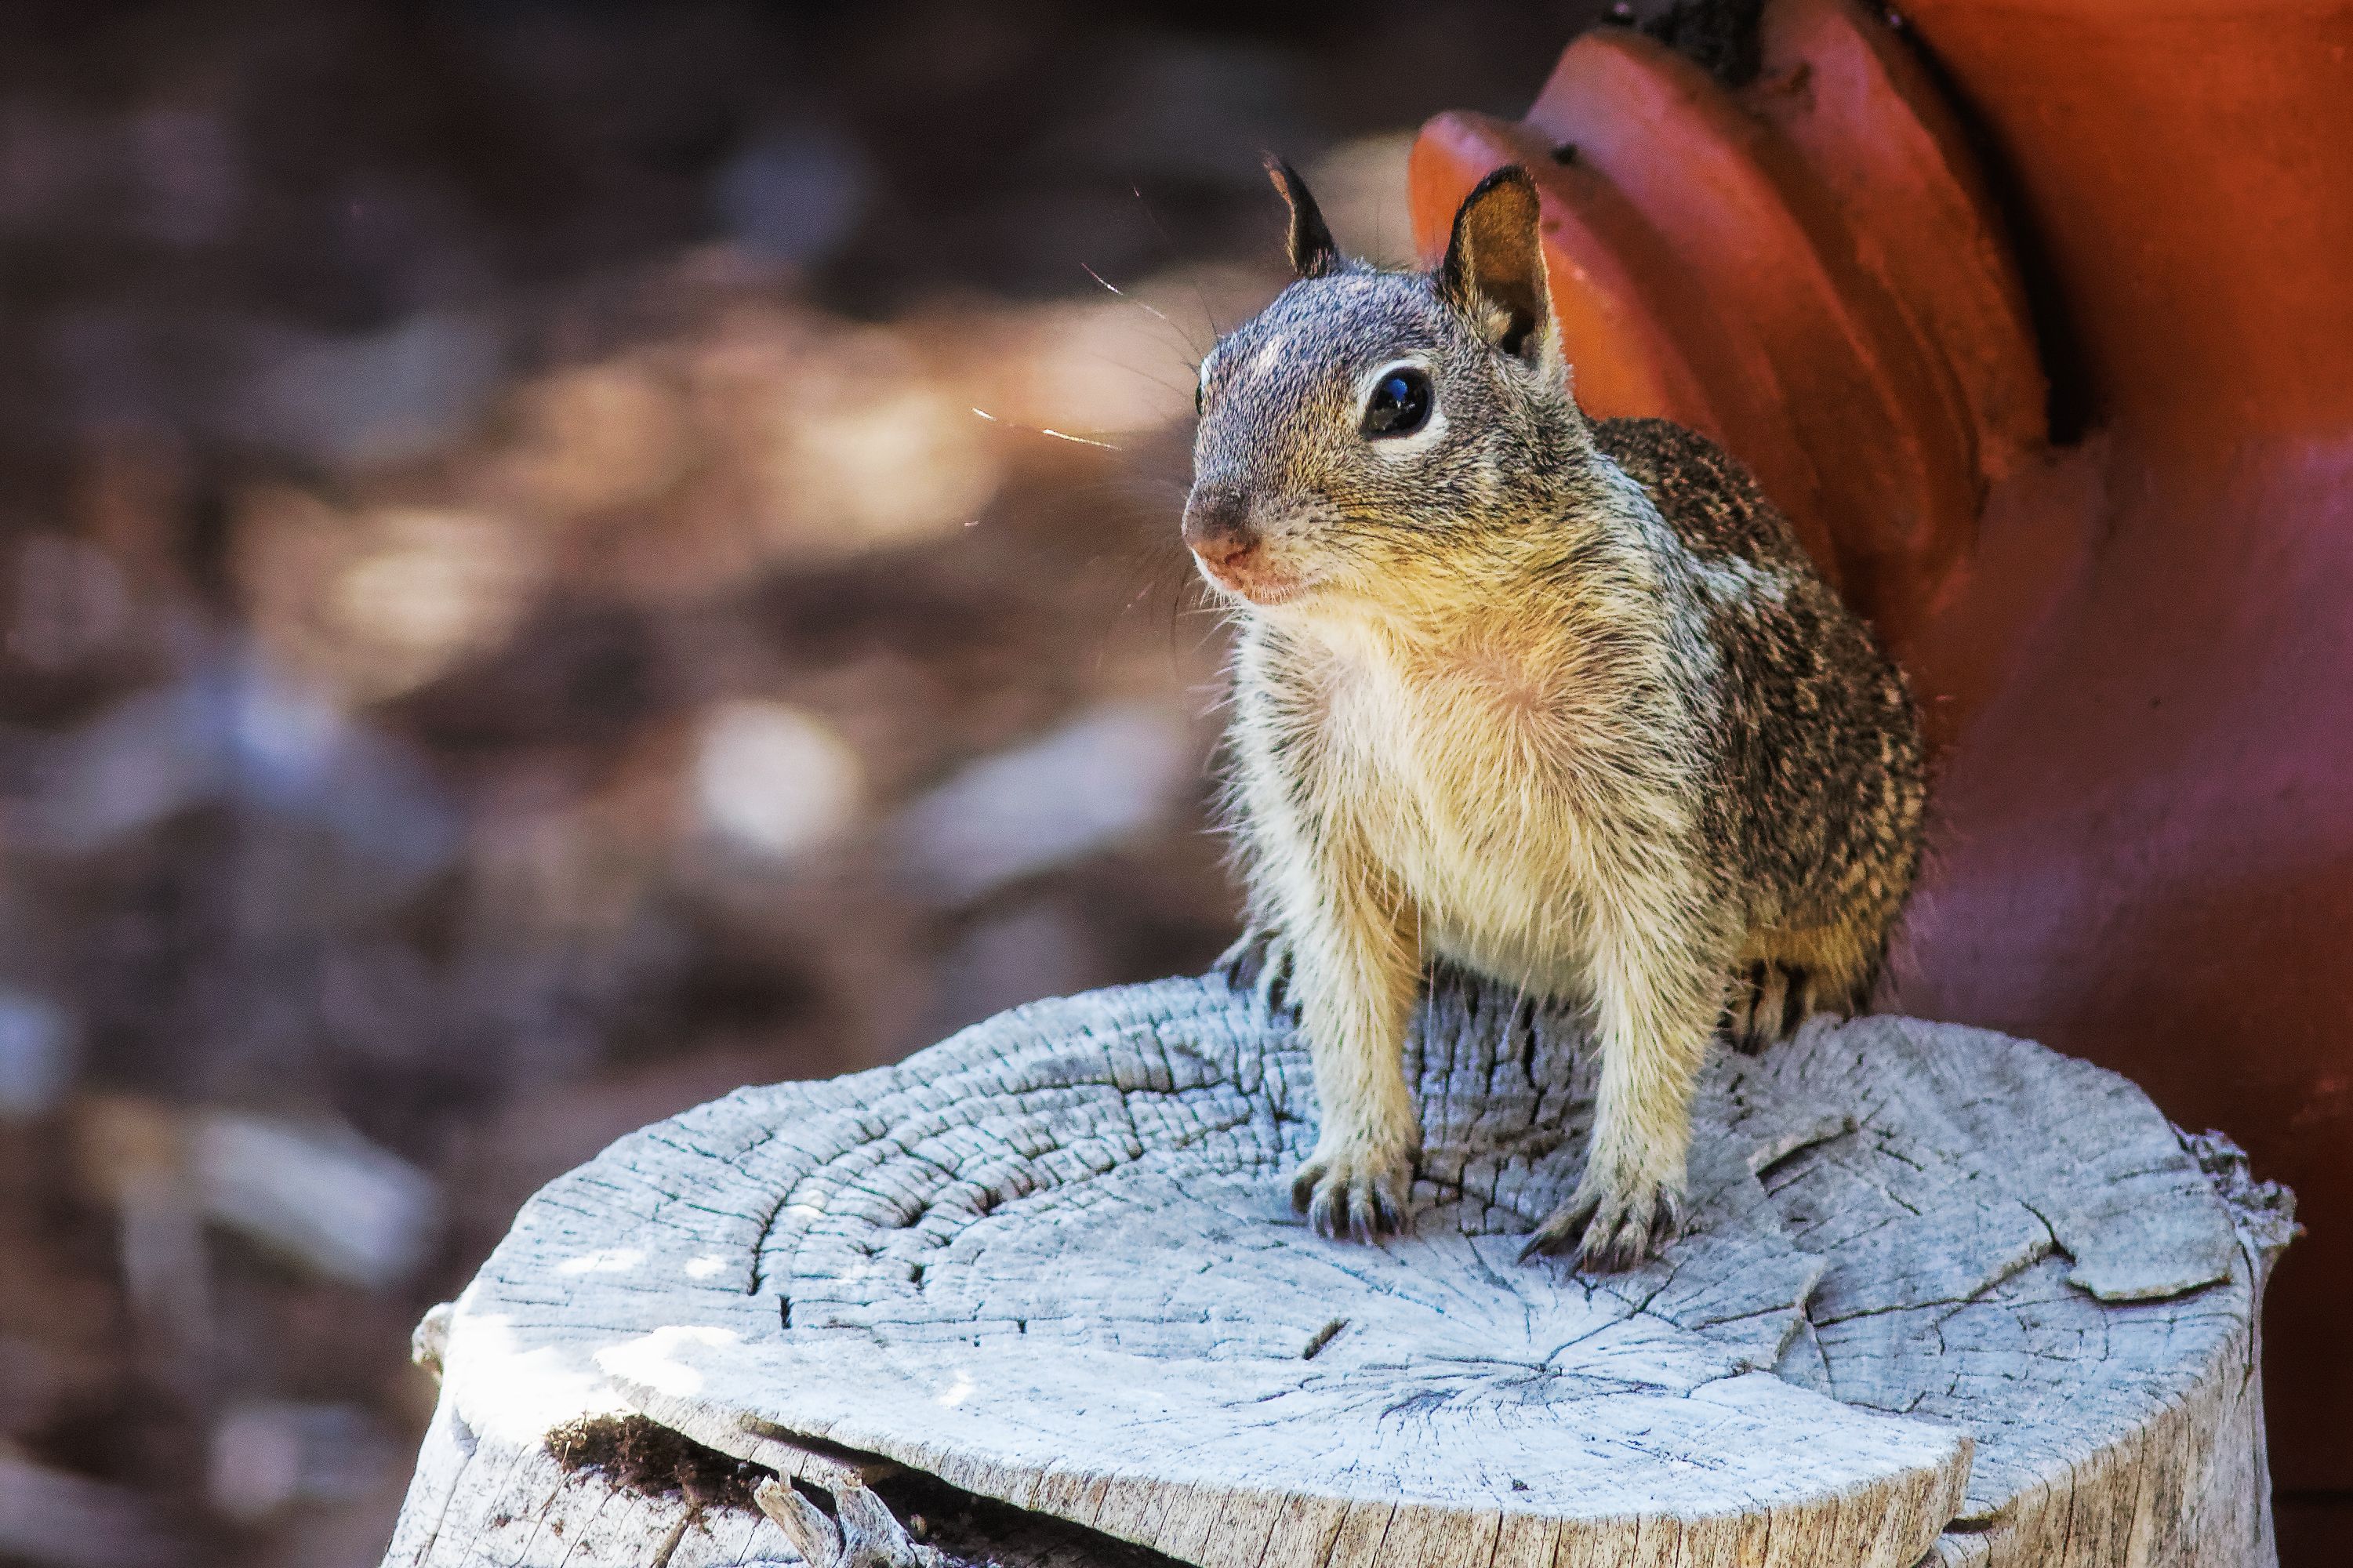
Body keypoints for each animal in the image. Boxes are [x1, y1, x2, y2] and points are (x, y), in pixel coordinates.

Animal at [1186, 160, 1926, 1270]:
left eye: (1401, 400)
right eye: (1208, 377)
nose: (1212, 531)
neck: (1409, 635)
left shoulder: (1662, 821)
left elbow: (1659, 1008)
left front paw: (1624, 1189)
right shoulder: (1314, 819)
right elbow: (1348, 1001)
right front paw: (1357, 1157)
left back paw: (1779, 979)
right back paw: (1271, 946)